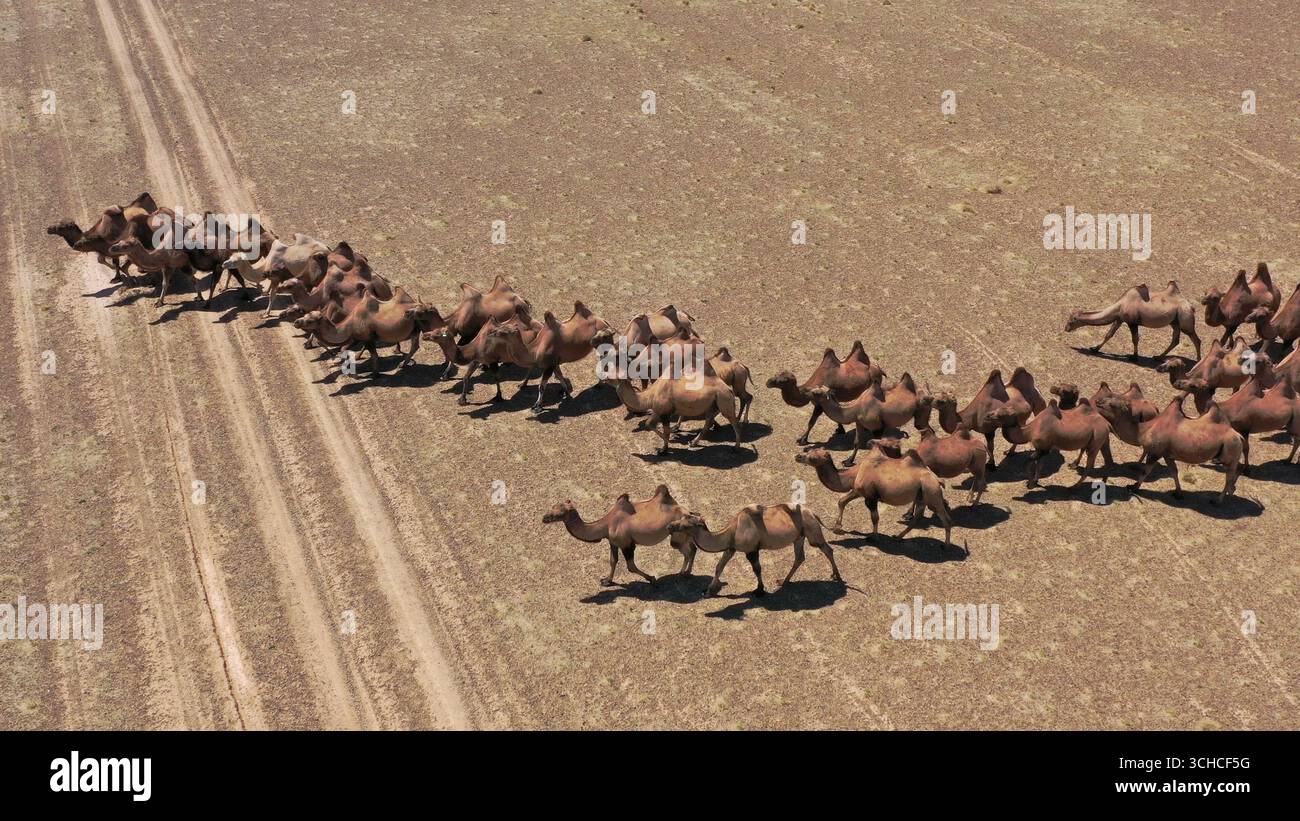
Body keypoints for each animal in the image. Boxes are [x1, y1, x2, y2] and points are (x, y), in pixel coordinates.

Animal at [541, 485, 695, 585]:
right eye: (553, 506)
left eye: (560, 514)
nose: (544, 518)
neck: (606, 524)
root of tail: (688, 512)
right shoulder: (613, 542)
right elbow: (613, 561)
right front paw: (606, 581)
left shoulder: (626, 544)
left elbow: (630, 566)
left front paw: (652, 578)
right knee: (692, 549)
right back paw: (686, 573)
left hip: (677, 533)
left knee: (686, 551)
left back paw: (682, 574)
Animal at [666, 504, 842, 597]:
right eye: (681, 518)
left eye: (685, 525)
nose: (669, 526)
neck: (733, 530)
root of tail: (813, 513)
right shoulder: (731, 548)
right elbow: (719, 567)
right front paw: (708, 591)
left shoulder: (751, 550)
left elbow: (757, 569)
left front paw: (759, 590)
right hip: (799, 536)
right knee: (800, 557)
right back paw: (783, 581)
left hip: (812, 532)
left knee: (827, 549)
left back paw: (838, 577)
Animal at [828, 442, 959, 552]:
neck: (856, 471)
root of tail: (937, 480)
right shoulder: (860, 491)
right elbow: (842, 501)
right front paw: (837, 527)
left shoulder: (869, 496)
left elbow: (874, 517)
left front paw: (873, 538)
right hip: (922, 496)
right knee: (918, 518)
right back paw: (898, 536)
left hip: (931, 493)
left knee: (945, 519)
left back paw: (946, 545)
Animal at [1066, 280, 1201, 359]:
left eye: (1071, 321)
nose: (1066, 328)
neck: (1121, 304)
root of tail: (1191, 307)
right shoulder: (1120, 319)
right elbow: (1109, 334)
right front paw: (1094, 348)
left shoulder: (1132, 322)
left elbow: (1135, 339)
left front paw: (1134, 356)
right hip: (1174, 321)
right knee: (1175, 340)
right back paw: (1158, 356)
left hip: (1185, 318)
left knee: (1196, 339)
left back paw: (1198, 362)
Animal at [1096, 394, 1244, 502]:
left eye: (1112, 405)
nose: (1098, 401)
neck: (1145, 431)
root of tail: (1239, 436)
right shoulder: (1167, 454)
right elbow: (1174, 472)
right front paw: (1178, 493)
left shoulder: (1155, 452)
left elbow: (1145, 471)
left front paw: (1133, 487)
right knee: (1234, 473)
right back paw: (1231, 492)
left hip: (1230, 450)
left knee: (1229, 476)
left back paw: (1218, 500)